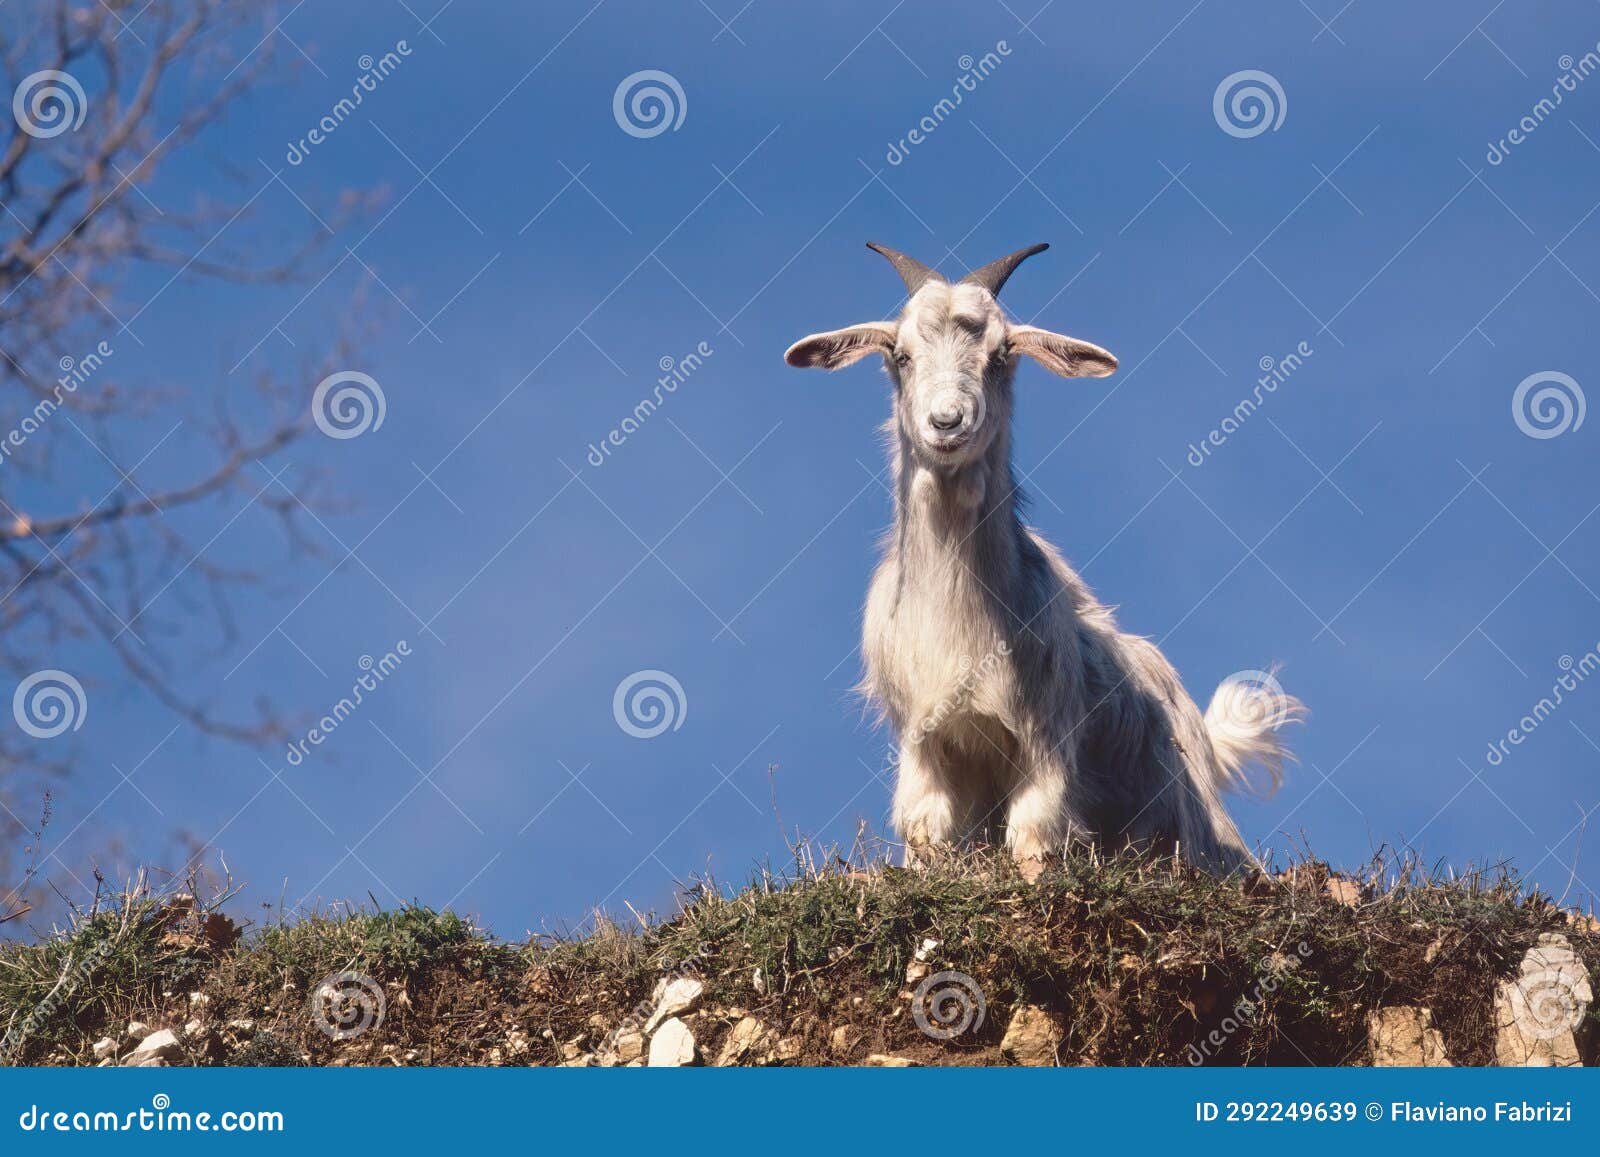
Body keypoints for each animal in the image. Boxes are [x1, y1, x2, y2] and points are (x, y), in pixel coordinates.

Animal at [784, 242, 1303, 875]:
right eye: (901, 356)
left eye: (1000, 355)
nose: (947, 423)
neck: (959, 616)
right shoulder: (922, 741)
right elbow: (926, 832)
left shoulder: (1044, 739)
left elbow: (1033, 839)